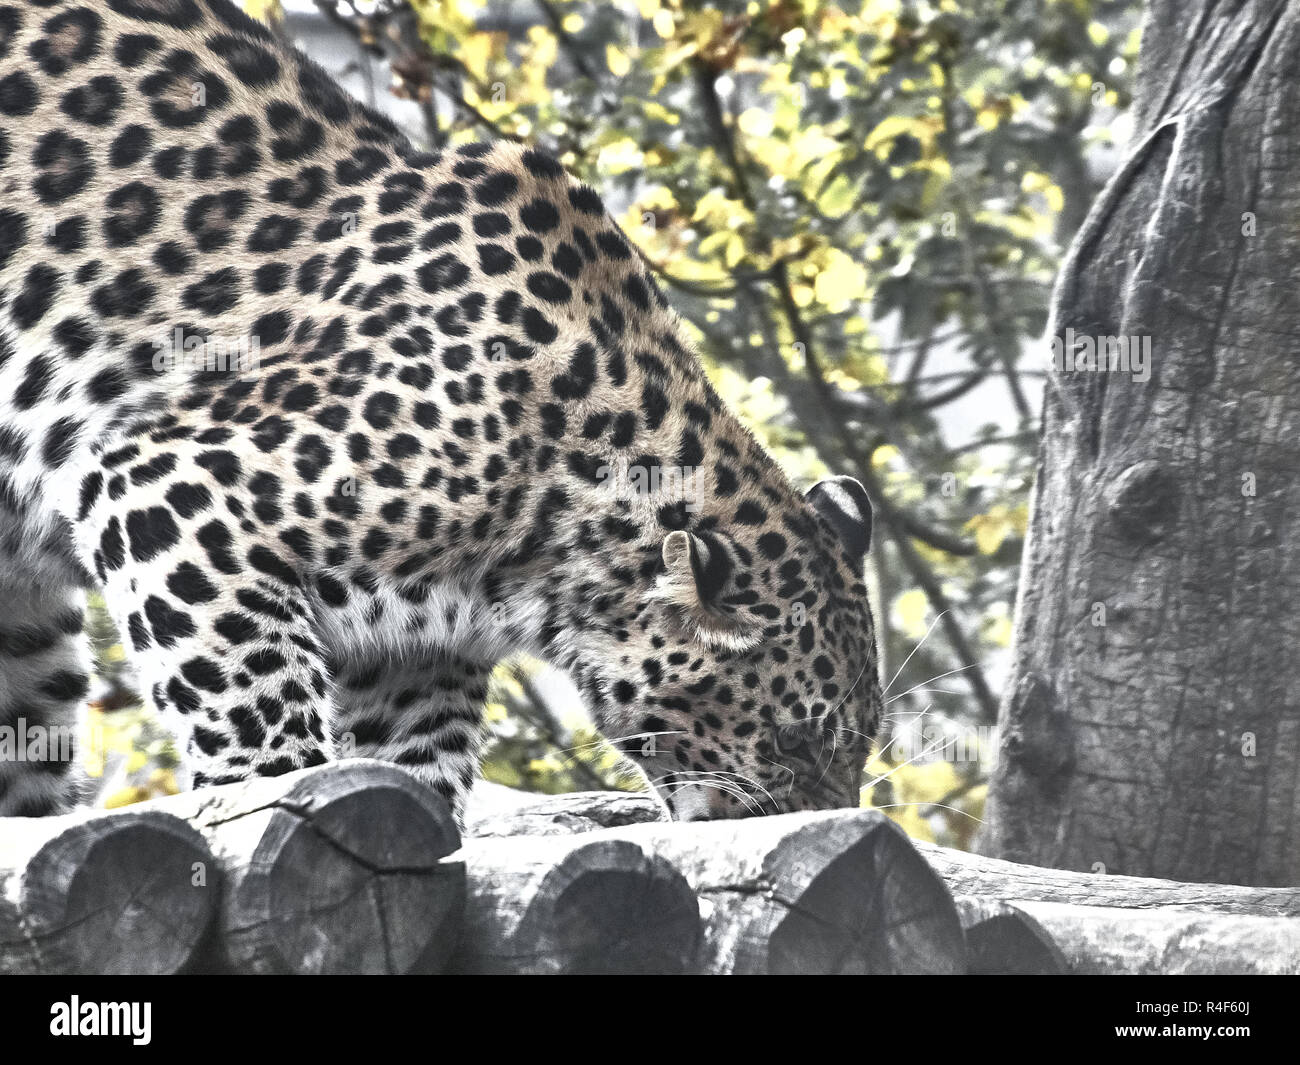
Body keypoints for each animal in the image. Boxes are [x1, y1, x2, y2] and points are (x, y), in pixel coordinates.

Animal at [0, 0, 882, 822]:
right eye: (790, 740)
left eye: (863, 738)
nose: (834, 809)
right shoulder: (167, 486)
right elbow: (255, 703)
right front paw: (264, 792)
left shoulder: (415, 662)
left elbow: (412, 780)